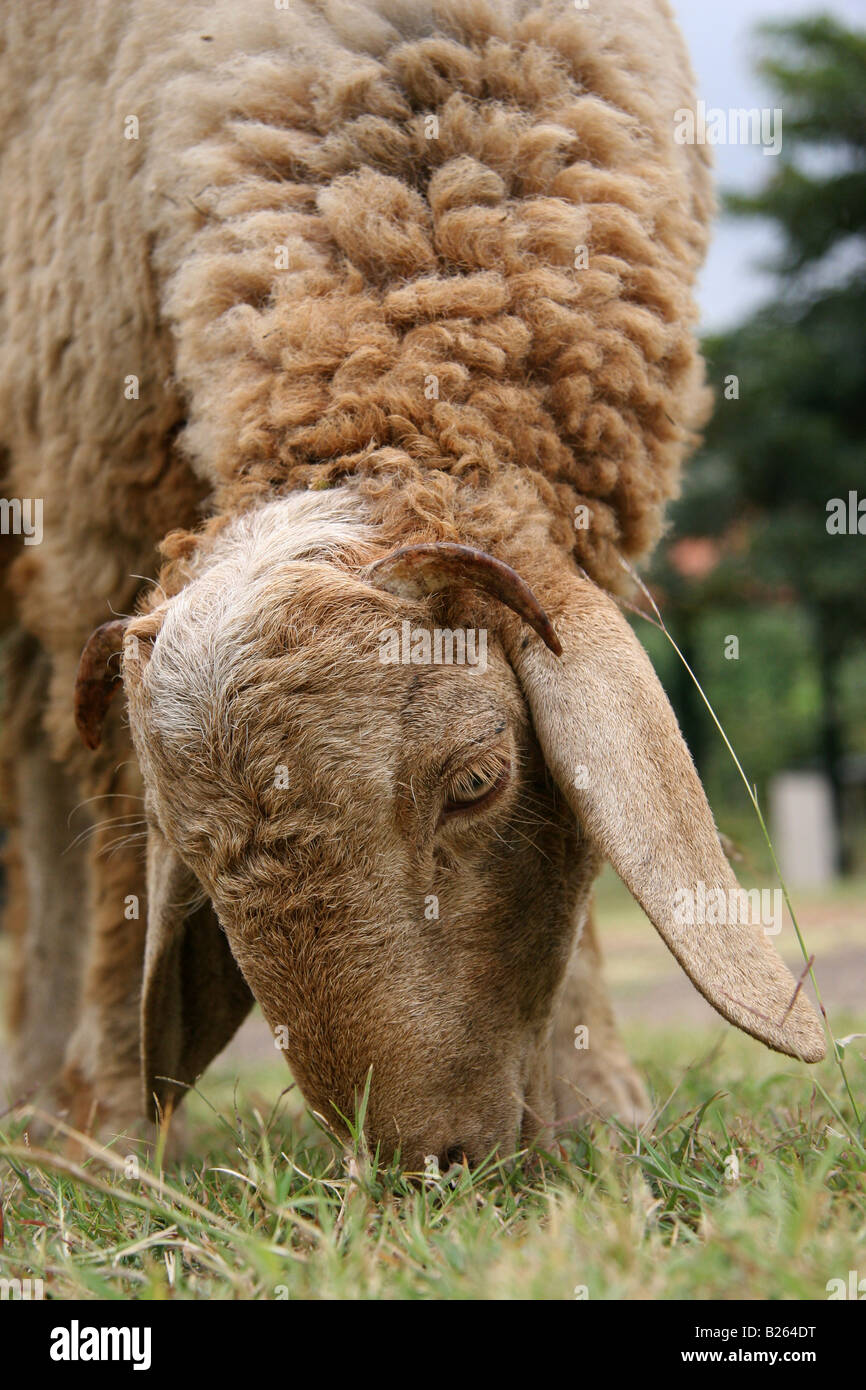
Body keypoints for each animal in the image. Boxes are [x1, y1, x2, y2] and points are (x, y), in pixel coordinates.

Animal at [0, 0, 825, 1167]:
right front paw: (114, 1130)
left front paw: (597, 1103)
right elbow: (114, 866)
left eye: (477, 781)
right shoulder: (88, 492)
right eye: (190, 854)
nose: (422, 1163)